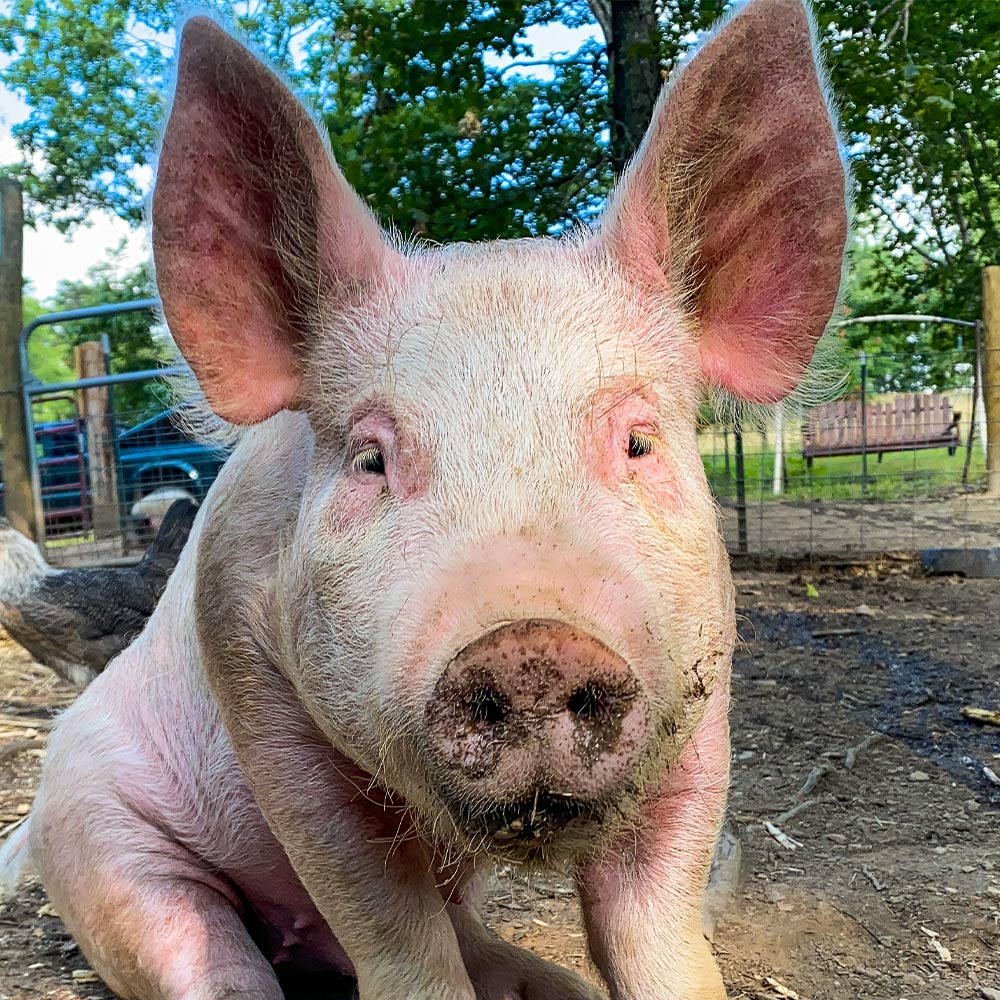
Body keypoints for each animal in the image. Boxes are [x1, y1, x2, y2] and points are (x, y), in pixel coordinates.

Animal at [0, 0, 847, 996]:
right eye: (371, 459)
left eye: (639, 442)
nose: (531, 646)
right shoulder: (250, 674)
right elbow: (380, 913)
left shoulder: (700, 694)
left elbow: (659, 922)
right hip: (107, 849)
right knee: (206, 948)